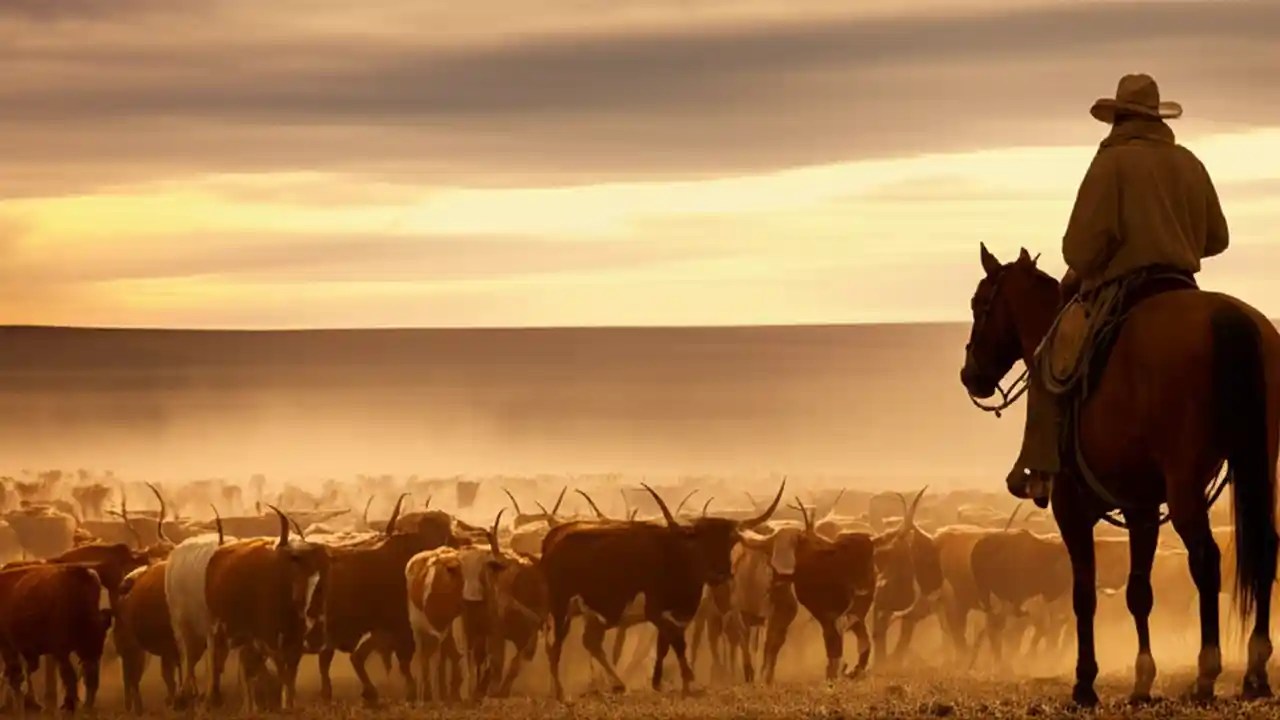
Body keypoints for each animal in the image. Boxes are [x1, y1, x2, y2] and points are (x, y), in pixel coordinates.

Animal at [540, 481, 784, 701]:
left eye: (731, 541)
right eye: (702, 543)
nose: (720, 575)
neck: (678, 557)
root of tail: (557, 533)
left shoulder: (680, 615)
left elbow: (666, 645)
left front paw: (662, 683)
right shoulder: (655, 611)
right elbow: (676, 642)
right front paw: (688, 681)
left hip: (592, 613)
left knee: (590, 642)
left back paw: (617, 684)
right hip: (560, 607)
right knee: (555, 647)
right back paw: (560, 693)